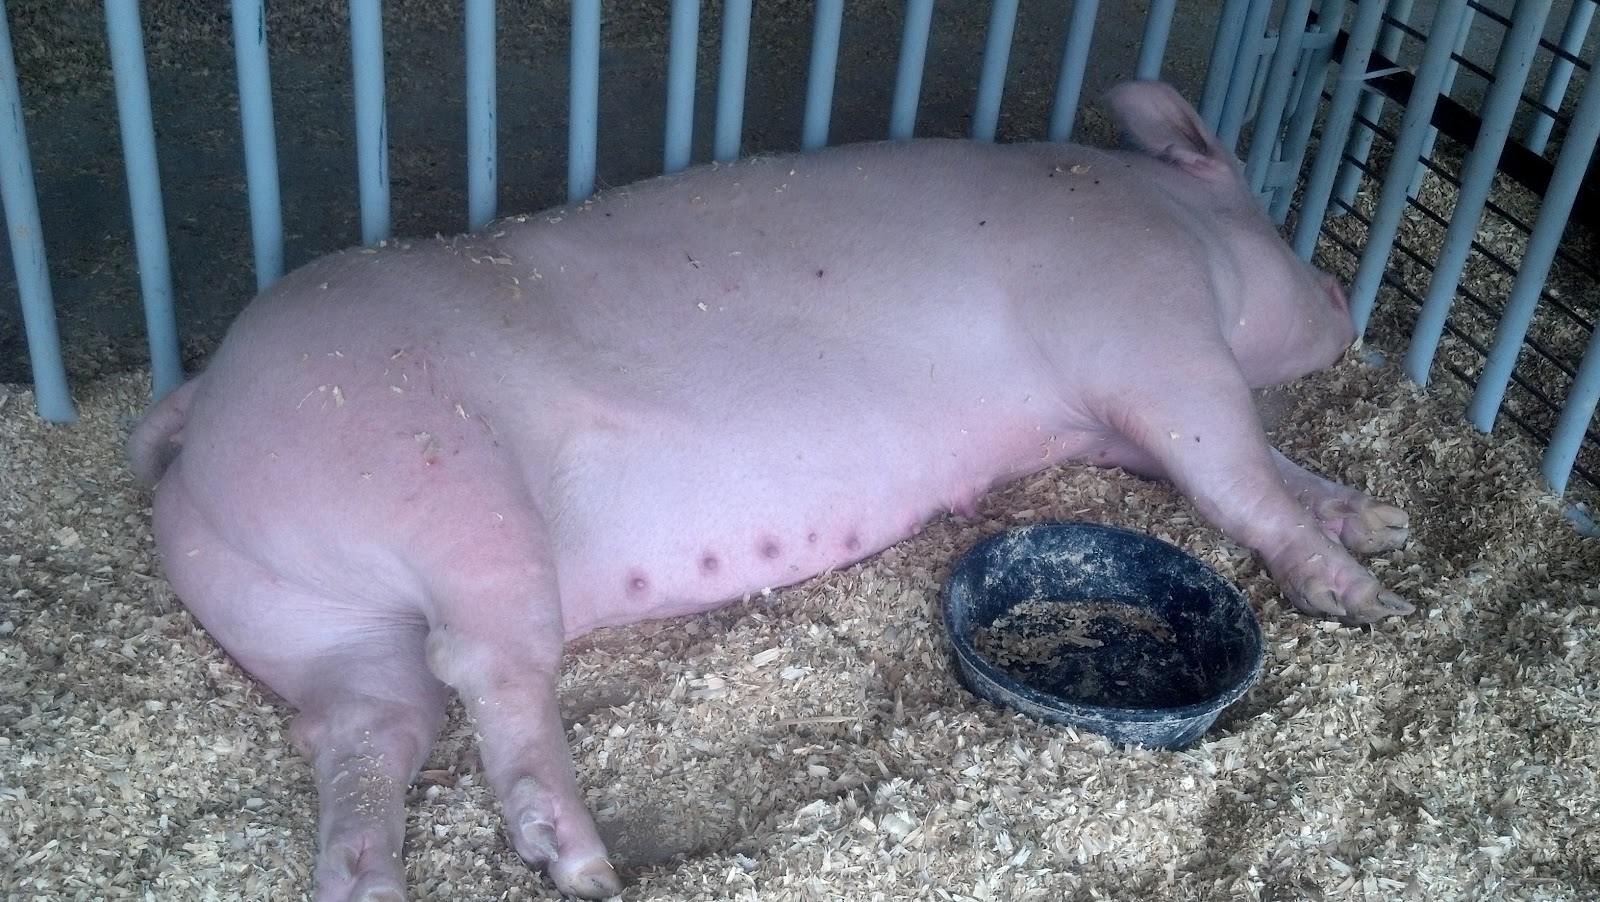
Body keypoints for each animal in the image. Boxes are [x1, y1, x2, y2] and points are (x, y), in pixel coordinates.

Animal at [129, 81, 1411, 900]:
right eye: (1276, 219)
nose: (1341, 291)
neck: (1181, 223)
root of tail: (202, 402)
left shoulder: (1116, 419)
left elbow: (1255, 470)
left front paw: (1381, 517)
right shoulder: (1149, 331)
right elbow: (1236, 474)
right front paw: (1370, 599)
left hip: (297, 605)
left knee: (361, 723)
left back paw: (374, 881)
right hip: (447, 494)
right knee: (484, 665)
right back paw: (584, 863)